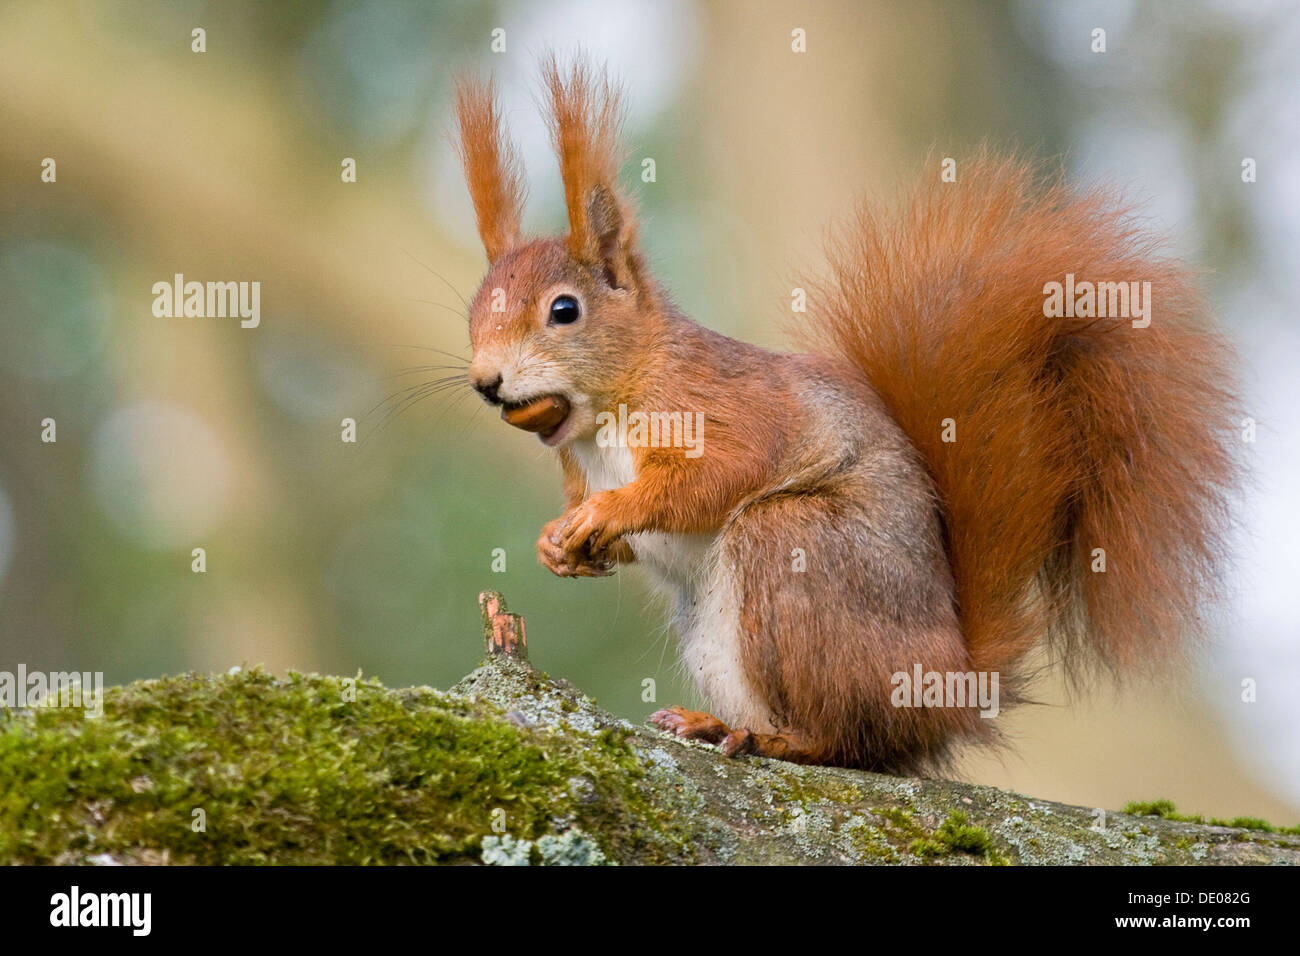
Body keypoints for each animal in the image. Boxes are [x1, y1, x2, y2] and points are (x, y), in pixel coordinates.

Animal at [453, 57, 1240, 775]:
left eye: (564, 310)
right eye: (473, 312)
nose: (485, 383)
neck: (604, 413)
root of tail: (950, 687)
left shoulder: (717, 402)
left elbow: (721, 471)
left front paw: (608, 511)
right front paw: (557, 543)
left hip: (796, 551)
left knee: (849, 740)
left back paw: (772, 738)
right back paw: (718, 725)